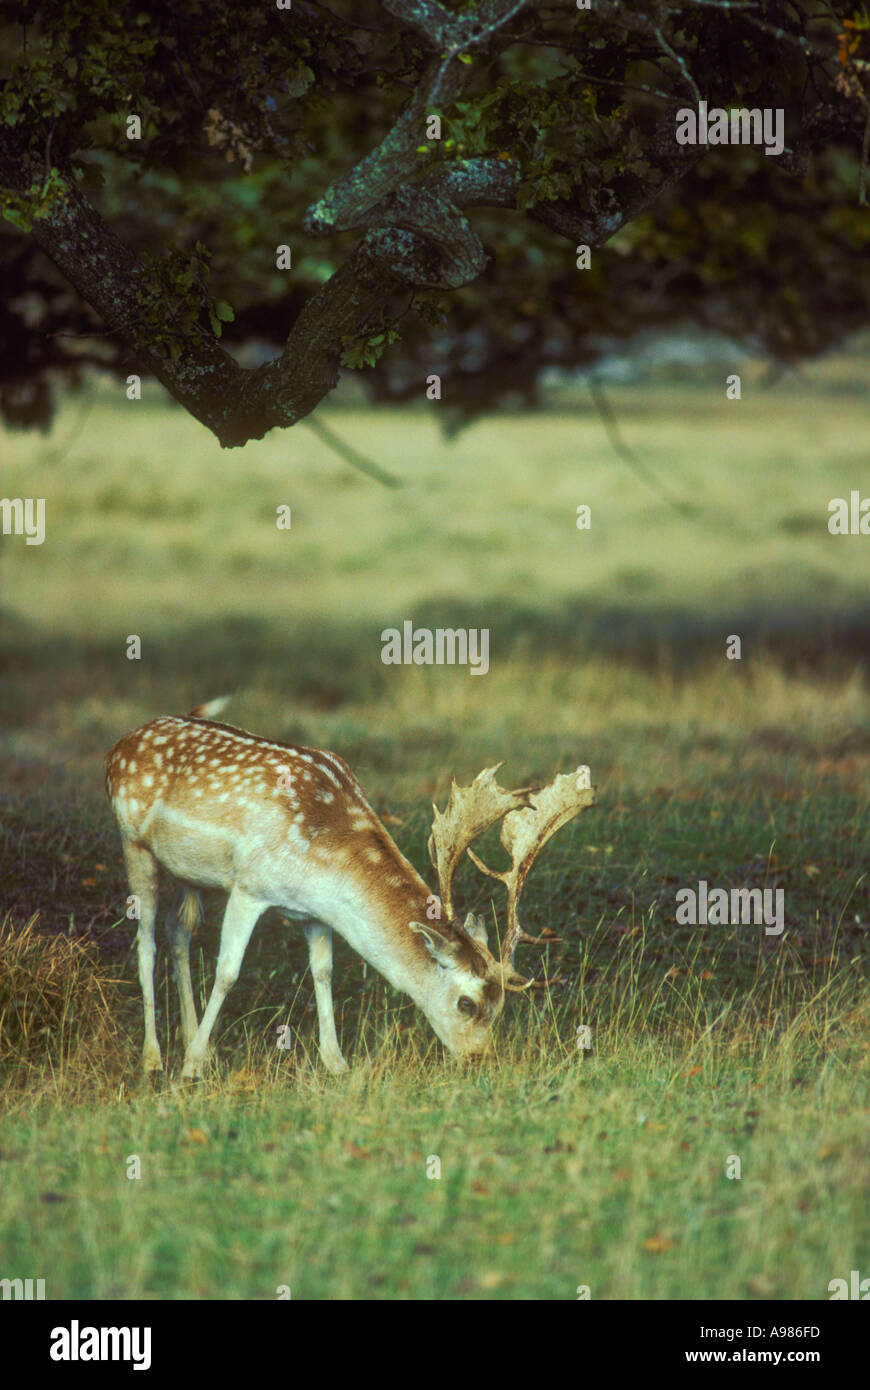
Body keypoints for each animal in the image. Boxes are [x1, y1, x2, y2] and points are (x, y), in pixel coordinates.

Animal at [104, 701, 595, 1078]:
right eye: (467, 1004)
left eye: (501, 1007)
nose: (479, 1060)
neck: (320, 862)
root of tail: (119, 745)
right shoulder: (249, 885)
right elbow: (228, 972)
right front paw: (191, 1068)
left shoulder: (314, 914)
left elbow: (323, 973)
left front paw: (337, 1063)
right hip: (134, 843)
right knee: (146, 940)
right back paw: (155, 1059)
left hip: (191, 874)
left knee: (178, 933)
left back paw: (191, 1040)